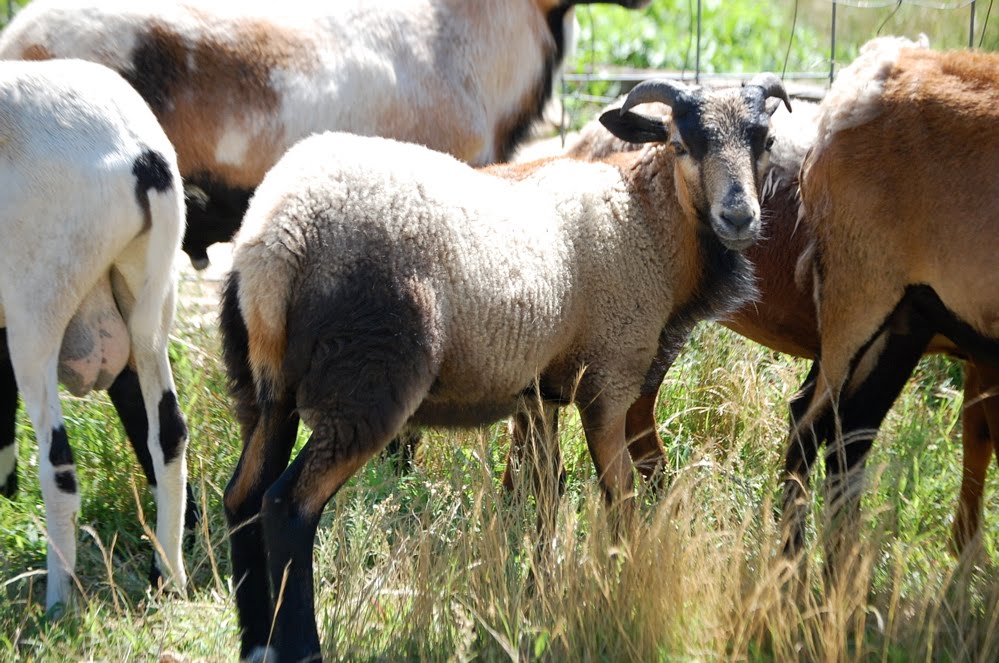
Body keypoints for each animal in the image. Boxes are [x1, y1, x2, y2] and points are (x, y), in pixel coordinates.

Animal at [0, 59, 188, 610]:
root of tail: (143, 157)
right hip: (147, 305)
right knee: (167, 433)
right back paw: (169, 577)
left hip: (37, 308)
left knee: (59, 465)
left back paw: (59, 603)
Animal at [218, 74, 790, 661]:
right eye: (680, 143)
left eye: (765, 141)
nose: (739, 218)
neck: (646, 219)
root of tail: (279, 235)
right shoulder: (609, 381)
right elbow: (621, 496)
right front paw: (622, 595)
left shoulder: (540, 395)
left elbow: (546, 494)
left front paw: (538, 601)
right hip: (366, 385)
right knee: (288, 506)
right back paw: (299, 645)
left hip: (266, 389)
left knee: (242, 498)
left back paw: (256, 642)